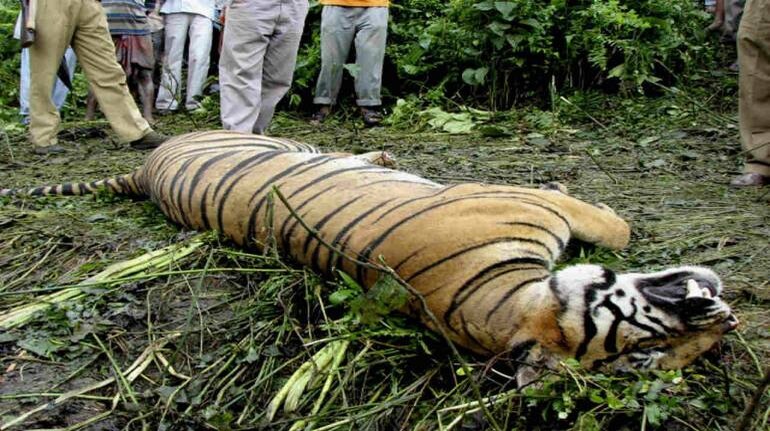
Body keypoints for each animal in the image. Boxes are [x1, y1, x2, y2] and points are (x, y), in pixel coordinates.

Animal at [1, 130, 737, 383]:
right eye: (654, 342)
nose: (727, 323)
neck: (505, 307)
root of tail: (145, 171)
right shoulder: (533, 203)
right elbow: (614, 227)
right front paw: (606, 211)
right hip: (270, 140)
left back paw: (380, 154)